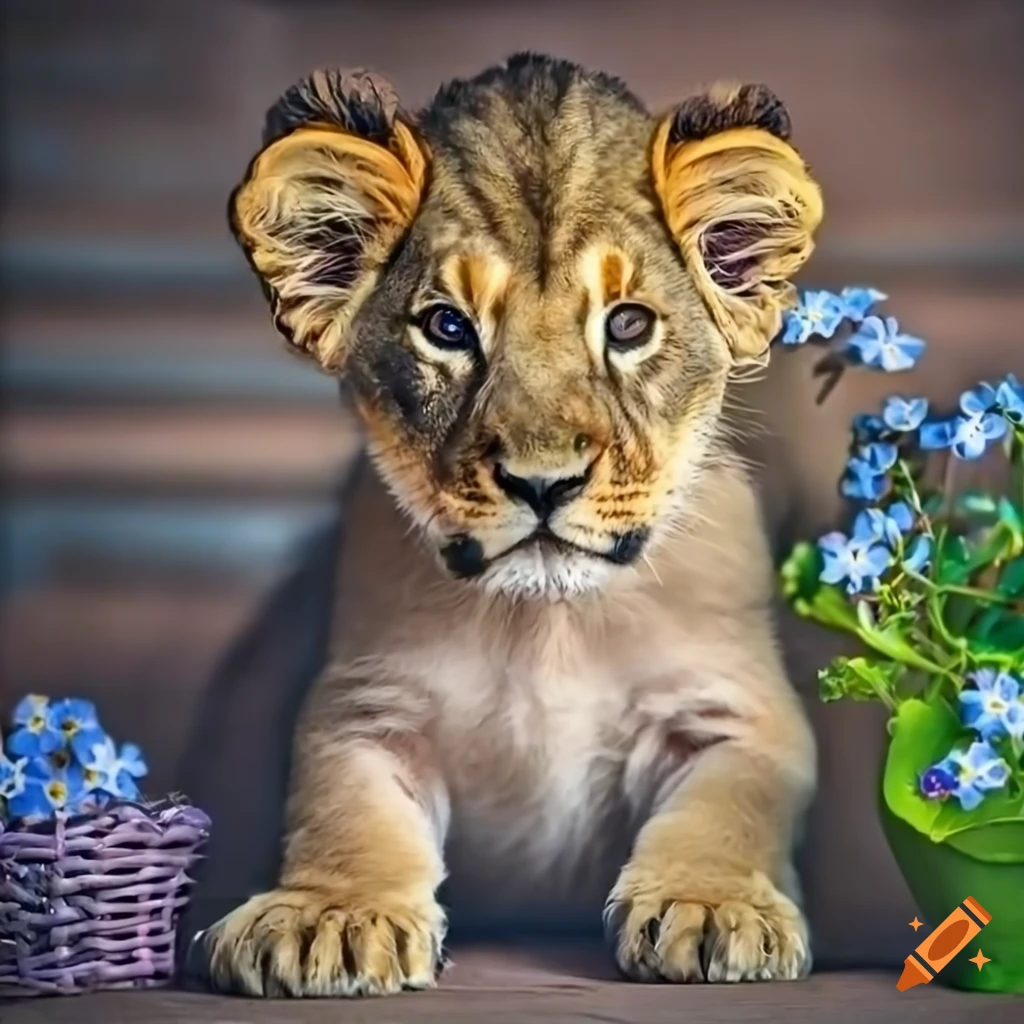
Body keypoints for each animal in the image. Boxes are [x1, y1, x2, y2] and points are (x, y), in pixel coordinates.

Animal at [199, 52, 823, 997]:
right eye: (447, 327)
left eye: (627, 325)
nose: (542, 481)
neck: (546, 623)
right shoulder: (368, 708)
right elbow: (347, 811)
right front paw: (332, 917)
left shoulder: (734, 708)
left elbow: (728, 805)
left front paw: (710, 907)